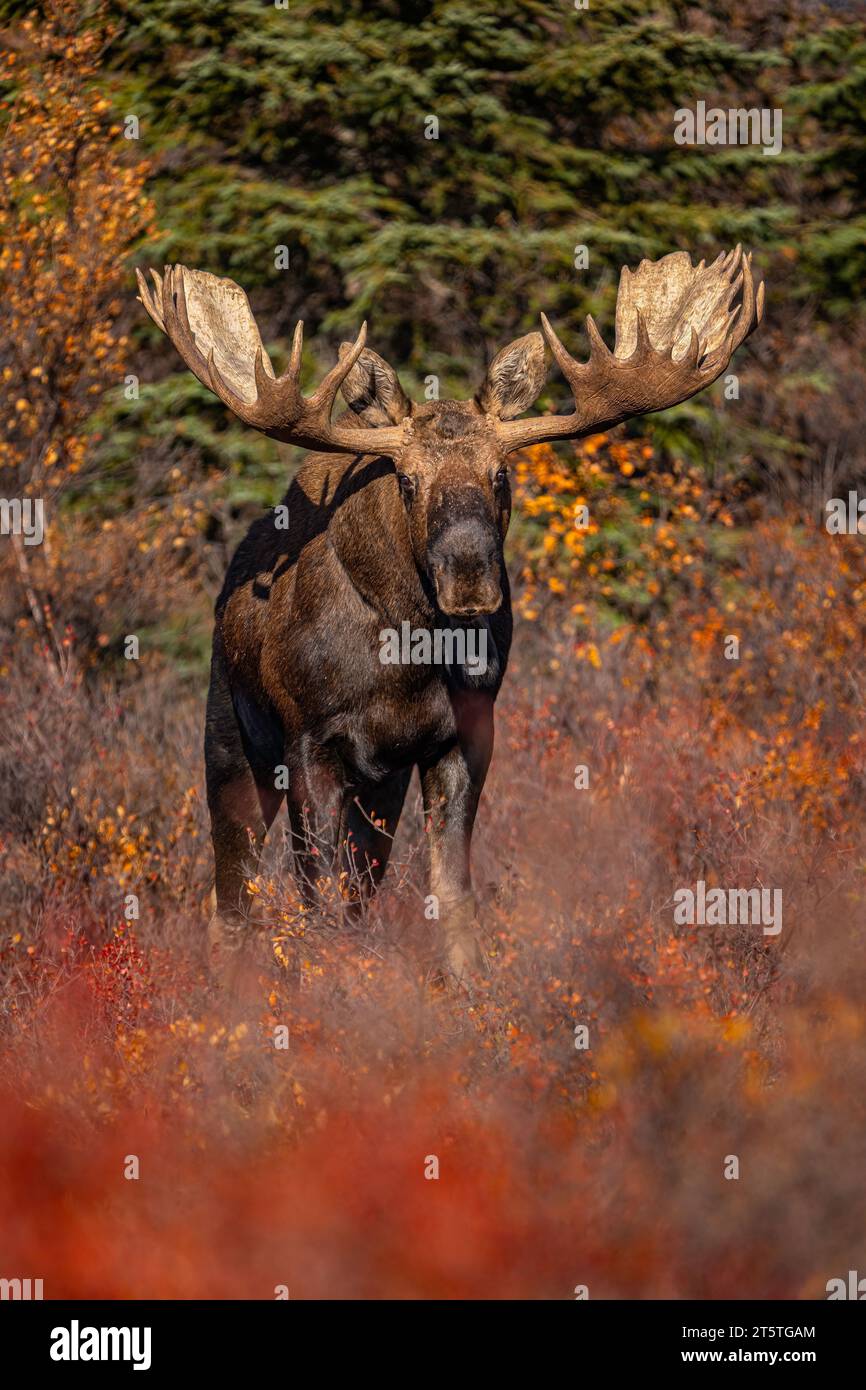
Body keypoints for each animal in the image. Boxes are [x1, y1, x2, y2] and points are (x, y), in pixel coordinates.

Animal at [137, 247, 764, 981]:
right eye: (408, 481)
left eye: (501, 475)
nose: (469, 577)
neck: (408, 654)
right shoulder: (310, 741)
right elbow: (315, 898)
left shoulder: (461, 734)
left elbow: (449, 884)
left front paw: (467, 985)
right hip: (232, 741)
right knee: (231, 891)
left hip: (377, 785)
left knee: (349, 886)